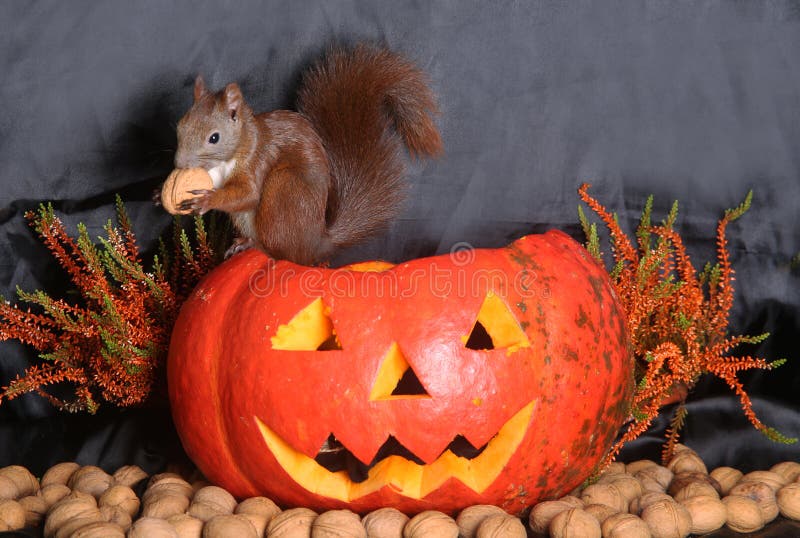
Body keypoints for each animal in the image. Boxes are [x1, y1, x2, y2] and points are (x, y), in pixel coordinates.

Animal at [174, 44, 443, 265]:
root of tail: (317, 243)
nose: (180, 163)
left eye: (214, 137)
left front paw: (206, 200)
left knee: (288, 255)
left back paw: (264, 251)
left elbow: (247, 194)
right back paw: (245, 242)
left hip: (283, 191)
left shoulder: (258, 159)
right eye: (180, 126)